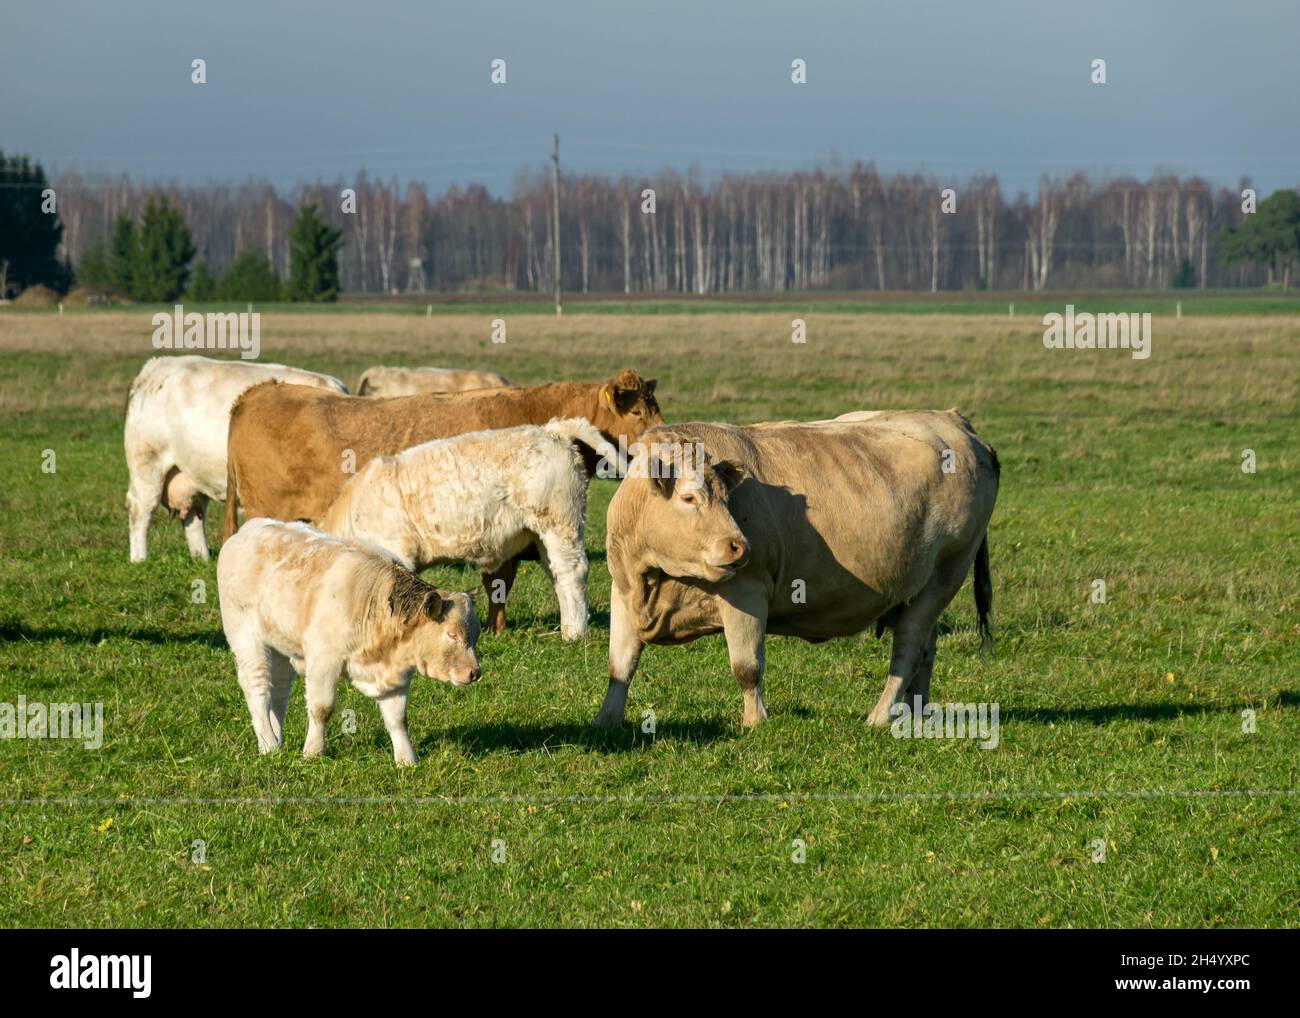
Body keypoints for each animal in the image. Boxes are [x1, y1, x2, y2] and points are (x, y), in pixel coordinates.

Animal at [123, 355, 346, 562]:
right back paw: (140, 559)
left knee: (194, 516)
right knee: (141, 510)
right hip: (147, 464)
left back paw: (202, 557)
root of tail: (154, 366)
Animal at [217, 518, 481, 766]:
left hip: (281, 646)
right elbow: (321, 710)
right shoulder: (323, 660)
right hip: (246, 639)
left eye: (476, 634)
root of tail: (251, 528)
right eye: (451, 635)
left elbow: (398, 718)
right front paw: (313, 752)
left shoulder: (396, 674)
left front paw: (407, 759)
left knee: (280, 692)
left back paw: (277, 739)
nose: (475, 672)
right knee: (257, 689)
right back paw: (268, 745)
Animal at [320, 419, 617, 641]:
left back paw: (574, 633)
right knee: (557, 574)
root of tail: (552, 430)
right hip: (542, 534)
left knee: (572, 572)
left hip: (559, 523)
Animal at [594, 410, 1000, 730]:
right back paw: (917, 713)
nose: (739, 545)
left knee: (910, 647)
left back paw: (880, 716)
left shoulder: (746, 591)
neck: (657, 576)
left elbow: (747, 667)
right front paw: (606, 720)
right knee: (927, 650)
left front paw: (754, 721)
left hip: (945, 575)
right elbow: (620, 664)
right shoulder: (623, 590)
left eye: (727, 498)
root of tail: (955, 422)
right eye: (689, 497)